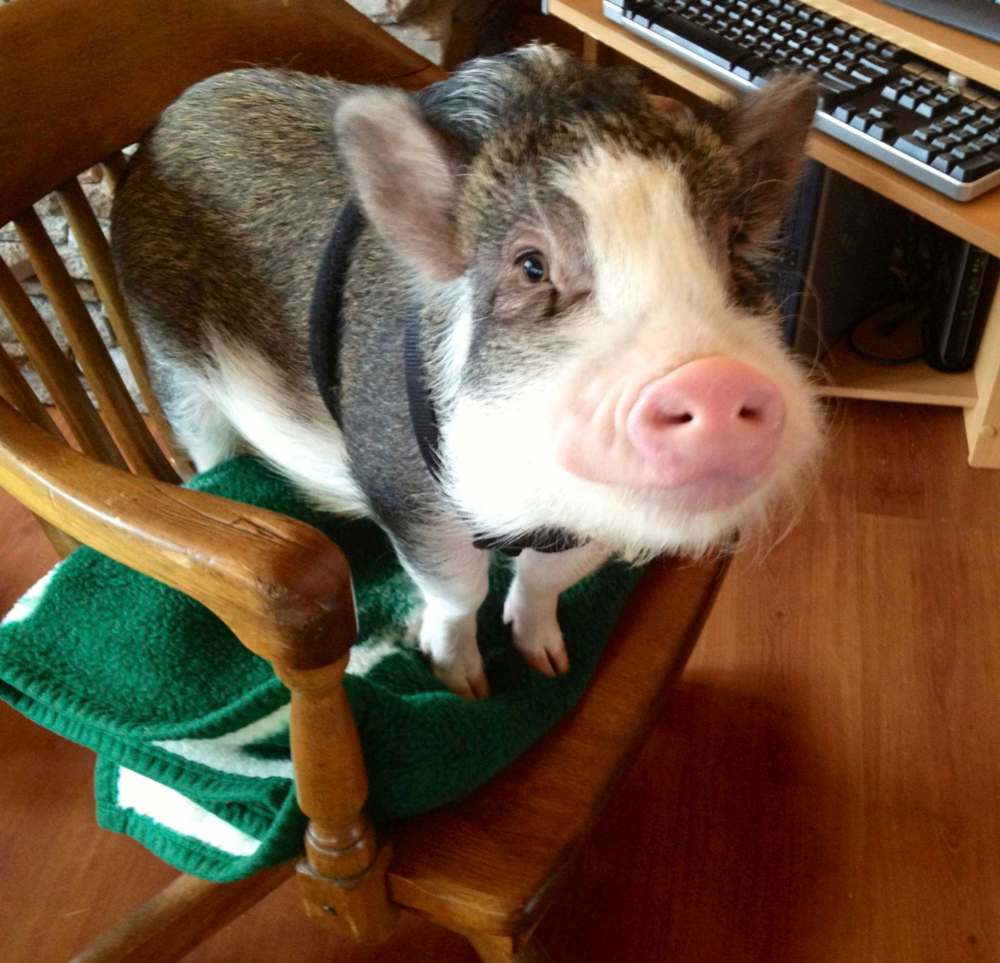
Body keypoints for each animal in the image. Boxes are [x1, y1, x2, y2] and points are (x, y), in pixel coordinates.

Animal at [111, 45, 824, 699]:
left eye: (733, 247)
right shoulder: (402, 487)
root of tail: (165, 123)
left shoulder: (586, 529)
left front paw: (550, 666)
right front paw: (464, 686)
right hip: (172, 363)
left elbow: (544, 581)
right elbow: (458, 590)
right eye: (531, 265)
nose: (714, 379)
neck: (528, 508)